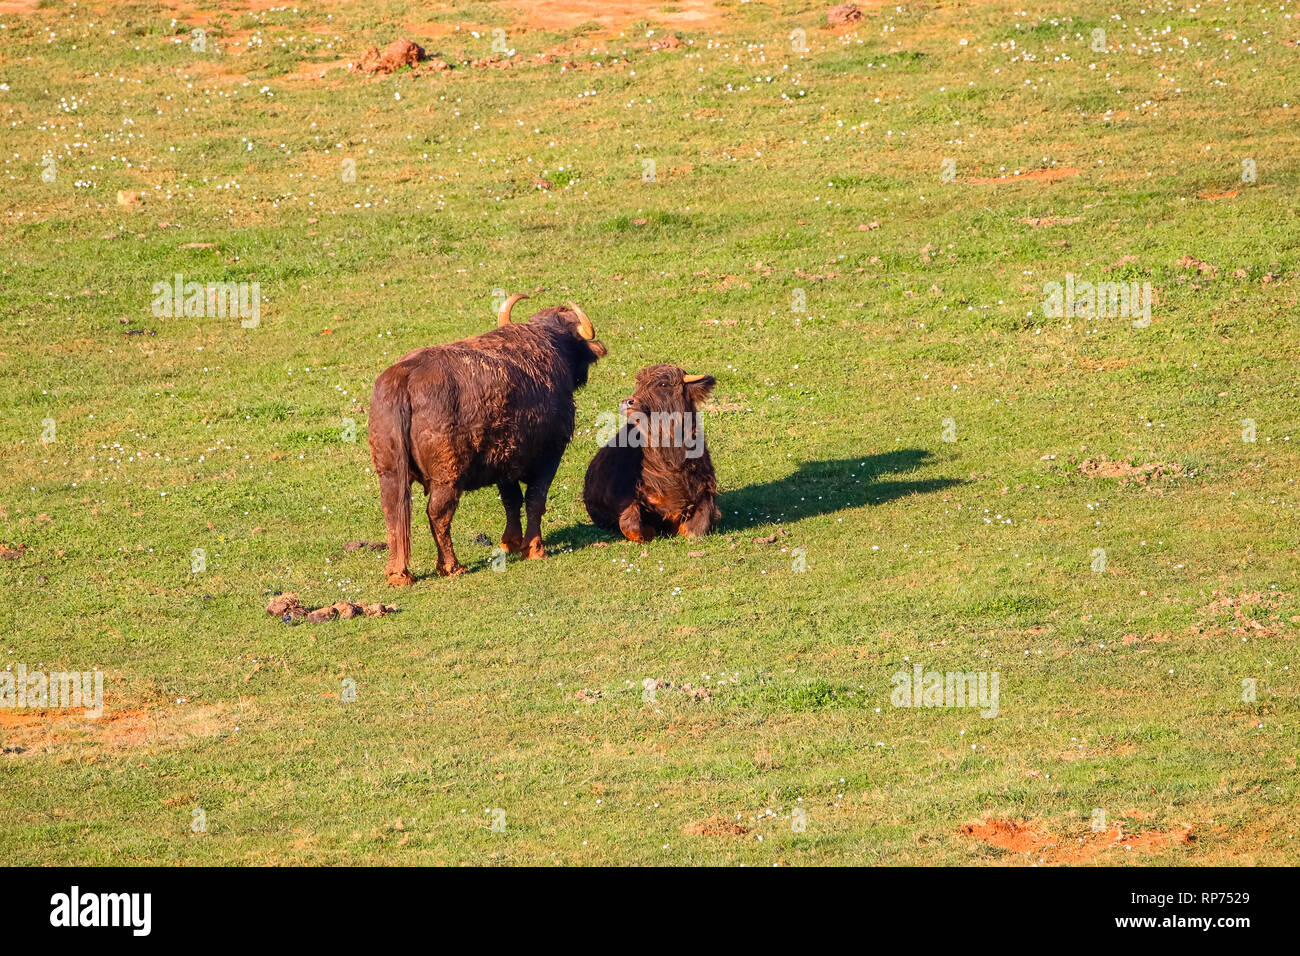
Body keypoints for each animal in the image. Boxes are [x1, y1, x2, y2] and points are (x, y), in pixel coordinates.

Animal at [368, 295, 606, 583]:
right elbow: (534, 500)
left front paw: (510, 543)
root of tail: (405, 377)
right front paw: (534, 548)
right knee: (438, 514)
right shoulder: (549, 457)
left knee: (394, 513)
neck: (551, 345)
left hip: (390, 474)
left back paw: (399, 573)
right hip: (447, 480)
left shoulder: (505, 465)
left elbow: (511, 501)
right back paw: (452, 566)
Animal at [583, 364, 720, 542]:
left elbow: (696, 529)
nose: (627, 402)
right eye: (638, 385)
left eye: (663, 384)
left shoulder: (705, 491)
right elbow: (633, 526)